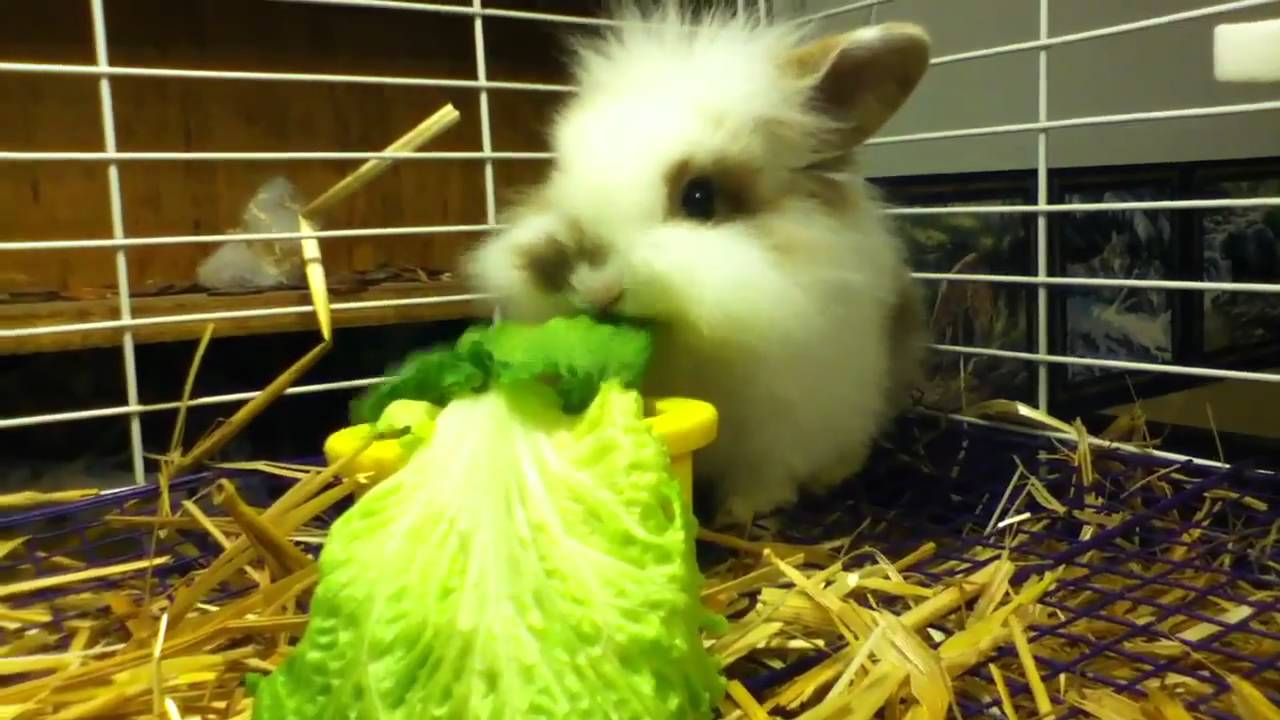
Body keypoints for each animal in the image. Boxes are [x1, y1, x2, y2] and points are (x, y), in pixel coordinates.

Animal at [463, 1, 931, 527]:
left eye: (700, 197)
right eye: (554, 174)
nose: (592, 284)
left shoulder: (785, 420)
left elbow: (766, 472)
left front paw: (743, 511)